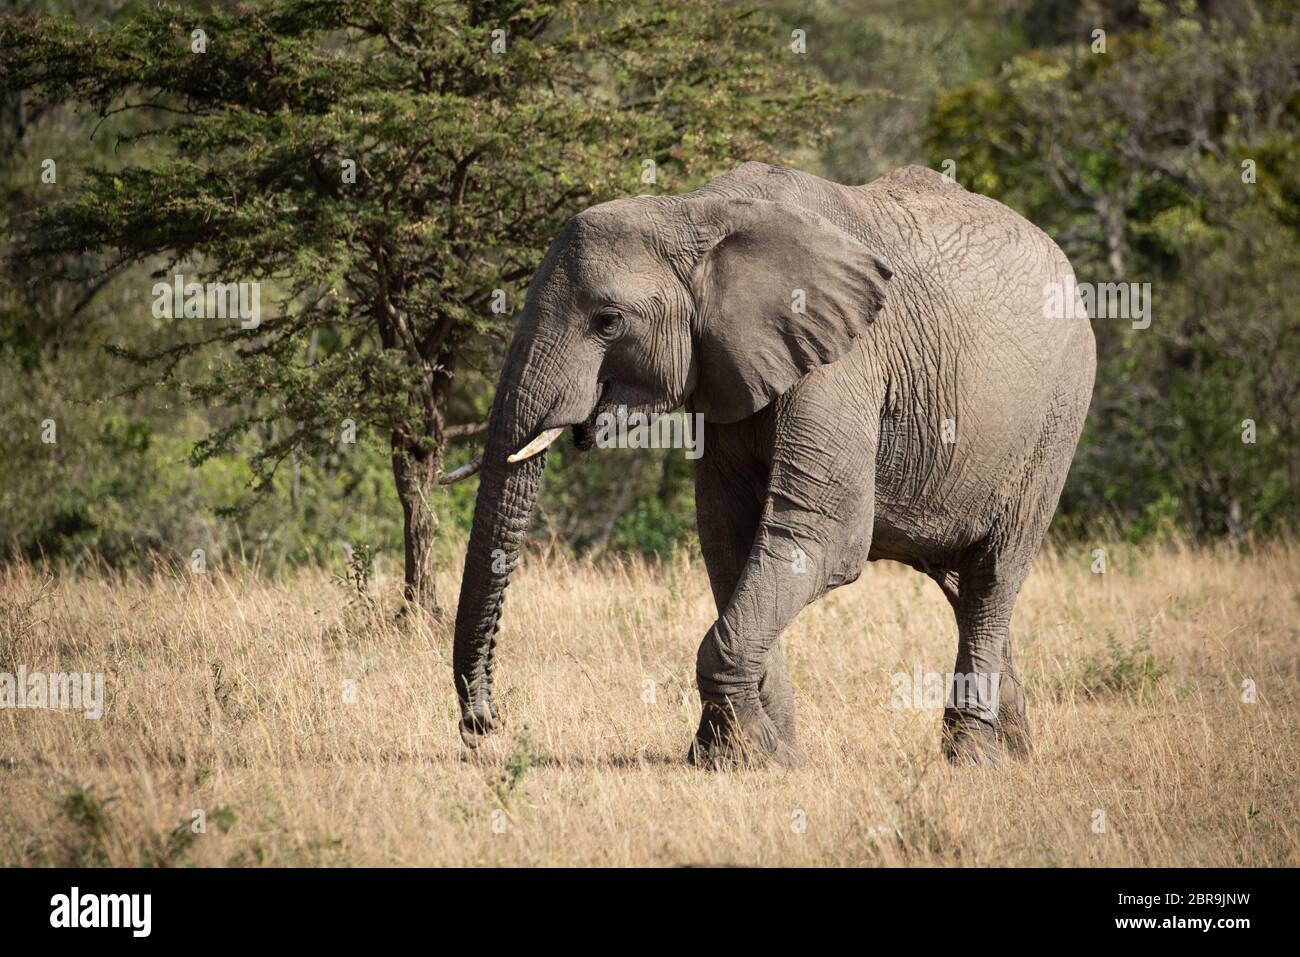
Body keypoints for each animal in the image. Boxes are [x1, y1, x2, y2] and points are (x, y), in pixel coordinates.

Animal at [444, 162, 1095, 768]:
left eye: (608, 321)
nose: (485, 725)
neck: (694, 211)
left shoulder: (843, 361)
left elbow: (821, 538)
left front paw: (752, 752)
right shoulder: (726, 367)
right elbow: (730, 540)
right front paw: (749, 755)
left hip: (1057, 417)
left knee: (992, 576)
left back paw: (974, 756)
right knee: (965, 589)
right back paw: (1016, 750)